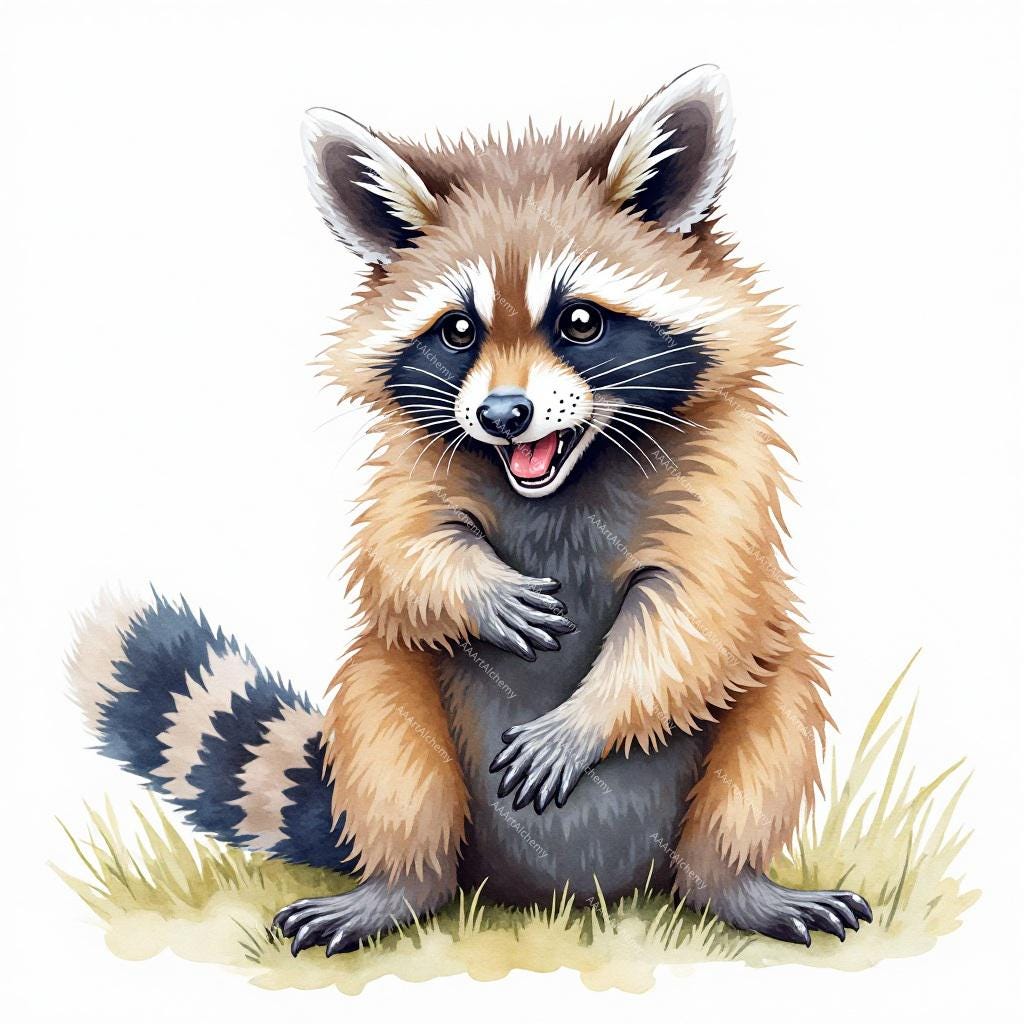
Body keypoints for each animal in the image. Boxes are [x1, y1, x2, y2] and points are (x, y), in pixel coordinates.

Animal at [69, 66, 870, 958]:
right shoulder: (413, 463)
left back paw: (732, 882)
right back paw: (400, 887)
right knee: (389, 730)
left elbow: (699, 612)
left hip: (743, 745)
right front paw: (479, 589)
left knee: (770, 730)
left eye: (580, 321)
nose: (504, 415)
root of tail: (572, 893)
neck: (568, 473)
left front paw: (587, 717)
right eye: (458, 330)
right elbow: (400, 554)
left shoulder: (726, 470)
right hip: (406, 737)